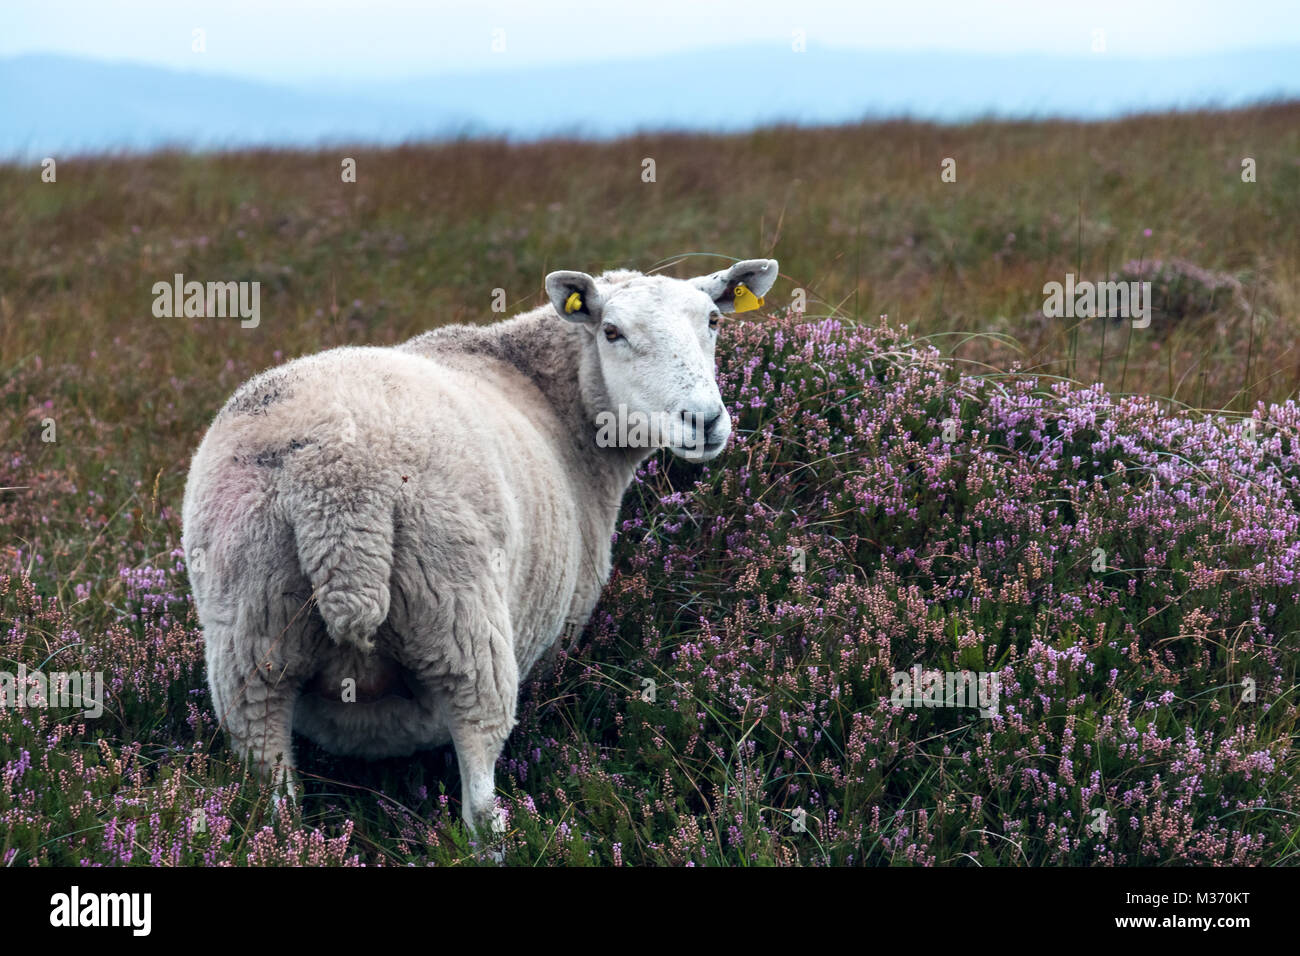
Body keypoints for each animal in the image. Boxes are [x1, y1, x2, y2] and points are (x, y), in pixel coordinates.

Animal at [181, 257, 779, 839]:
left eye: (713, 321)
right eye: (612, 332)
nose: (704, 420)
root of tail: (338, 482)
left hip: (251, 641)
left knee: (271, 782)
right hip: (461, 619)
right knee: (479, 784)